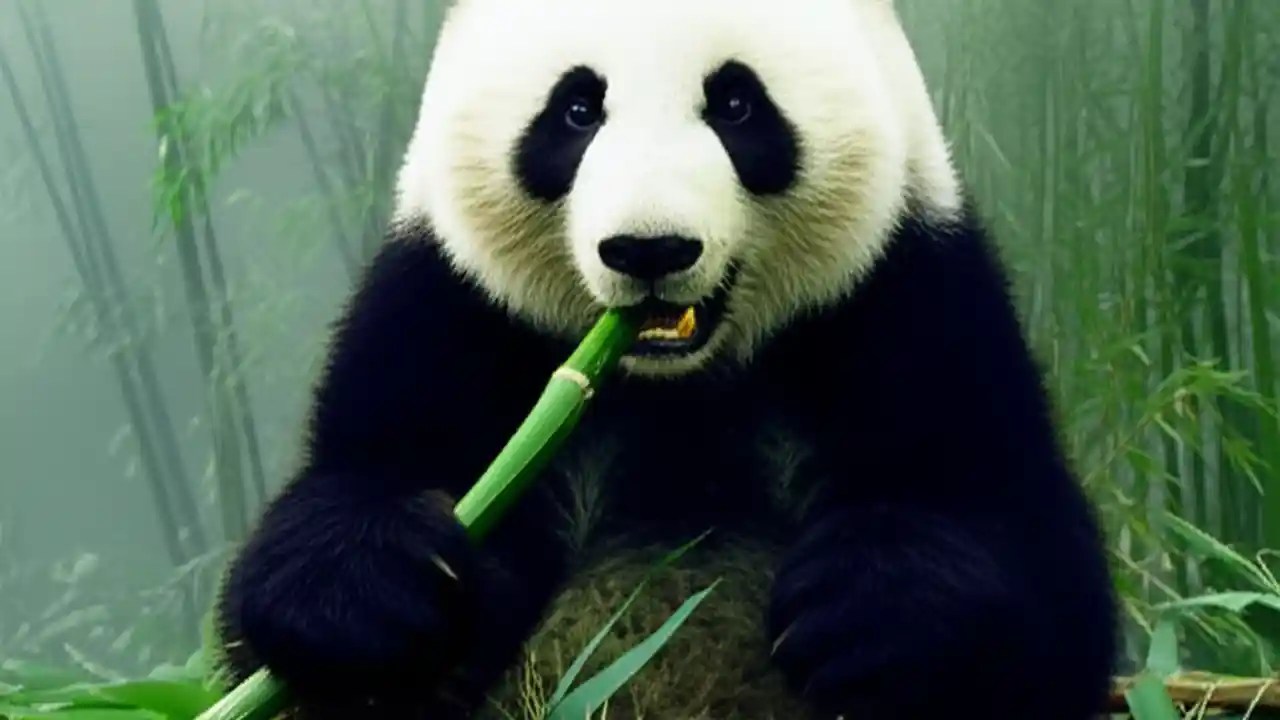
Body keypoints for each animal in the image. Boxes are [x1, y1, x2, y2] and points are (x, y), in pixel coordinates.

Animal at [215, 0, 1119, 718]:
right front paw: (366, 590)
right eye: (578, 108)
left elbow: (1035, 570)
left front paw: (875, 604)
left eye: (736, 103)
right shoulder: (447, 314)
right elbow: (346, 512)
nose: (650, 248)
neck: (678, 387)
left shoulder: (911, 300)